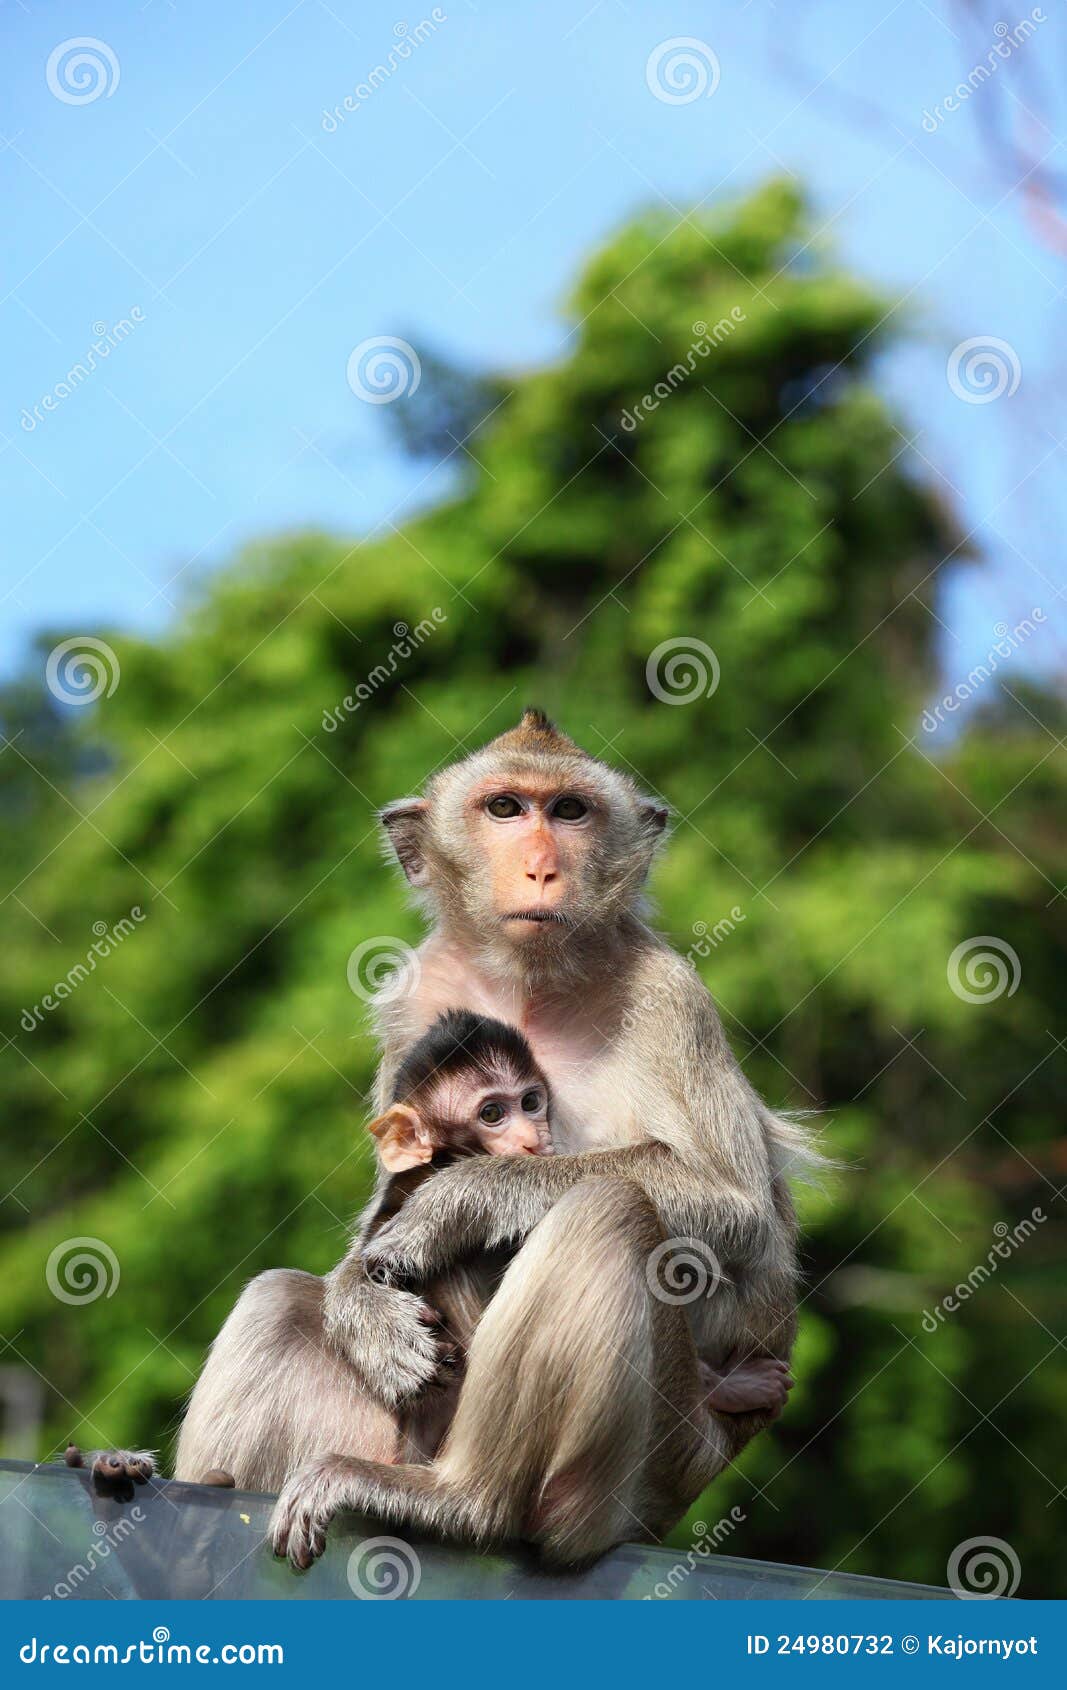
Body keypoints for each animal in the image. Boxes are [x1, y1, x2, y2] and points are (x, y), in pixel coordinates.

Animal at [174, 709, 812, 1568]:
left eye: (570, 812)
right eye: (505, 809)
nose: (542, 868)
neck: (530, 982)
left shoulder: (670, 996)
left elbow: (742, 1212)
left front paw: (459, 1203)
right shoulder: (415, 996)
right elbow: (389, 1192)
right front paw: (361, 1309)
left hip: (649, 1462)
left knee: (609, 1211)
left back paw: (468, 1503)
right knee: (278, 1297)